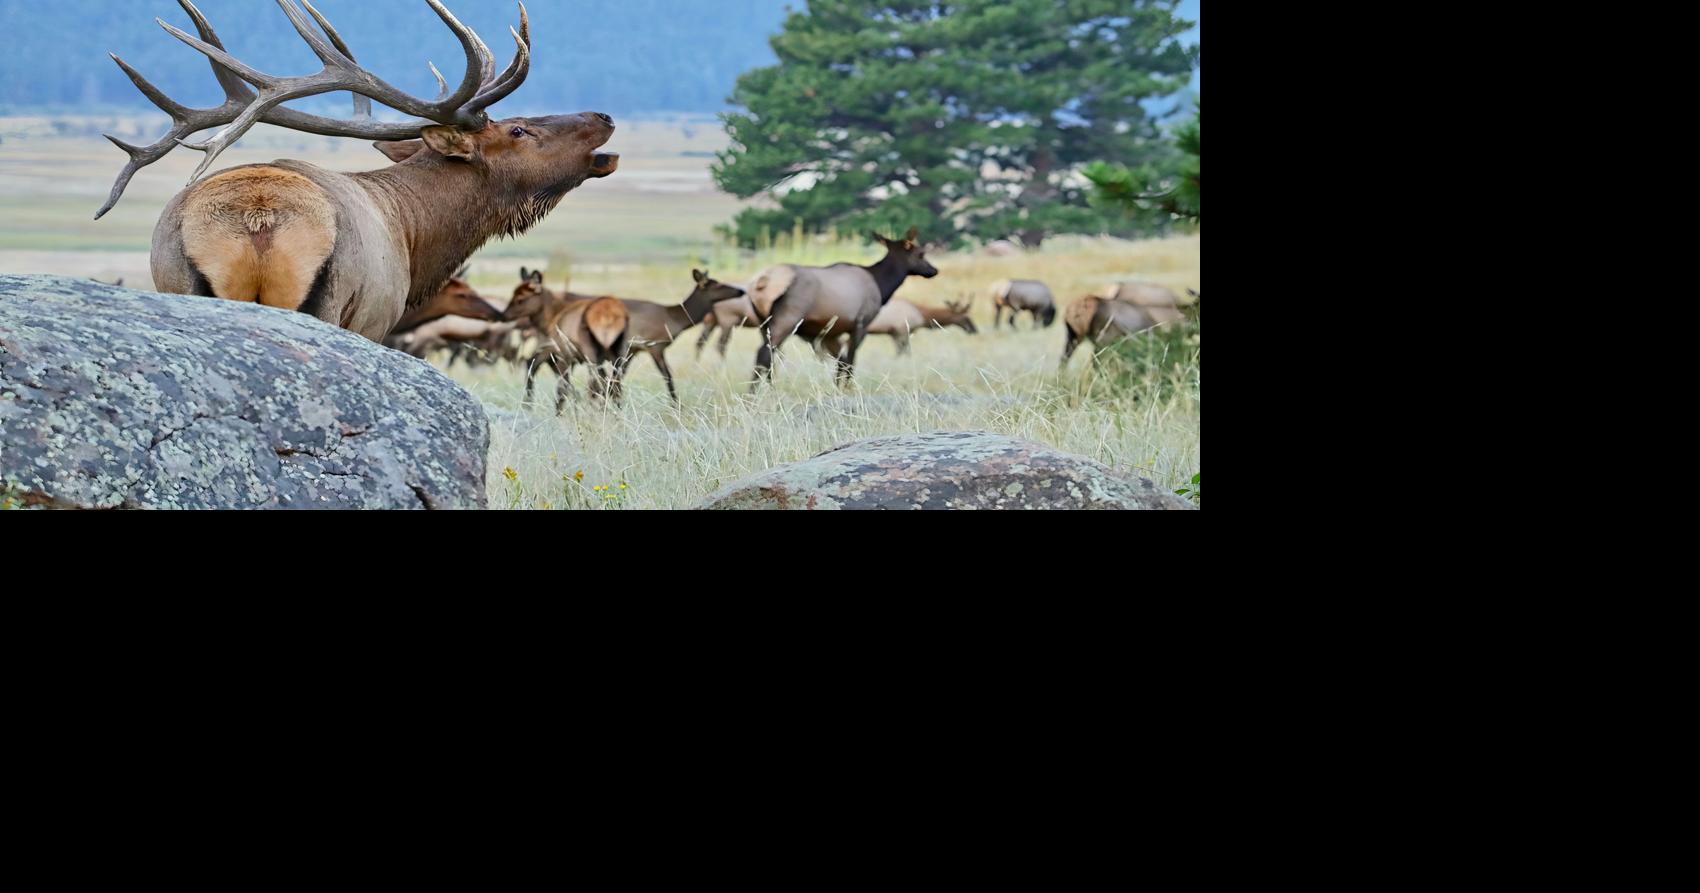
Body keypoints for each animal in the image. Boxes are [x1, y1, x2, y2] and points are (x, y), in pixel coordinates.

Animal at [99, 0, 619, 343]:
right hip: (326, 303)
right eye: (518, 129)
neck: (414, 233)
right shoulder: (376, 319)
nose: (604, 116)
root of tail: (257, 218)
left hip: (176, 280)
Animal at [502, 270, 629, 412]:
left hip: (591, 354)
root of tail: (609, 315)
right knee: (614, 384)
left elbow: (561, 388)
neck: (550, 320)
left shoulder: (563, 354)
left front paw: (558, 413)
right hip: (618, 354)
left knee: (601, 383)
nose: (503, 315)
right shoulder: (570, 358)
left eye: (520, 299)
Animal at [745, 227, 939, 389]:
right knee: (764, 353)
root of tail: (761, 282)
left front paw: (837, 387)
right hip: (788, 317)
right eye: (921, 254)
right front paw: (848, 388)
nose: (934, 270)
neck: (882, 285)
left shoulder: (830, 333)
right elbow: (851, 360)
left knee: (770, 357)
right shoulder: (861, 323)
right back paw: (755, 393)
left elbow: (842, 361)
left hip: (763, 323)